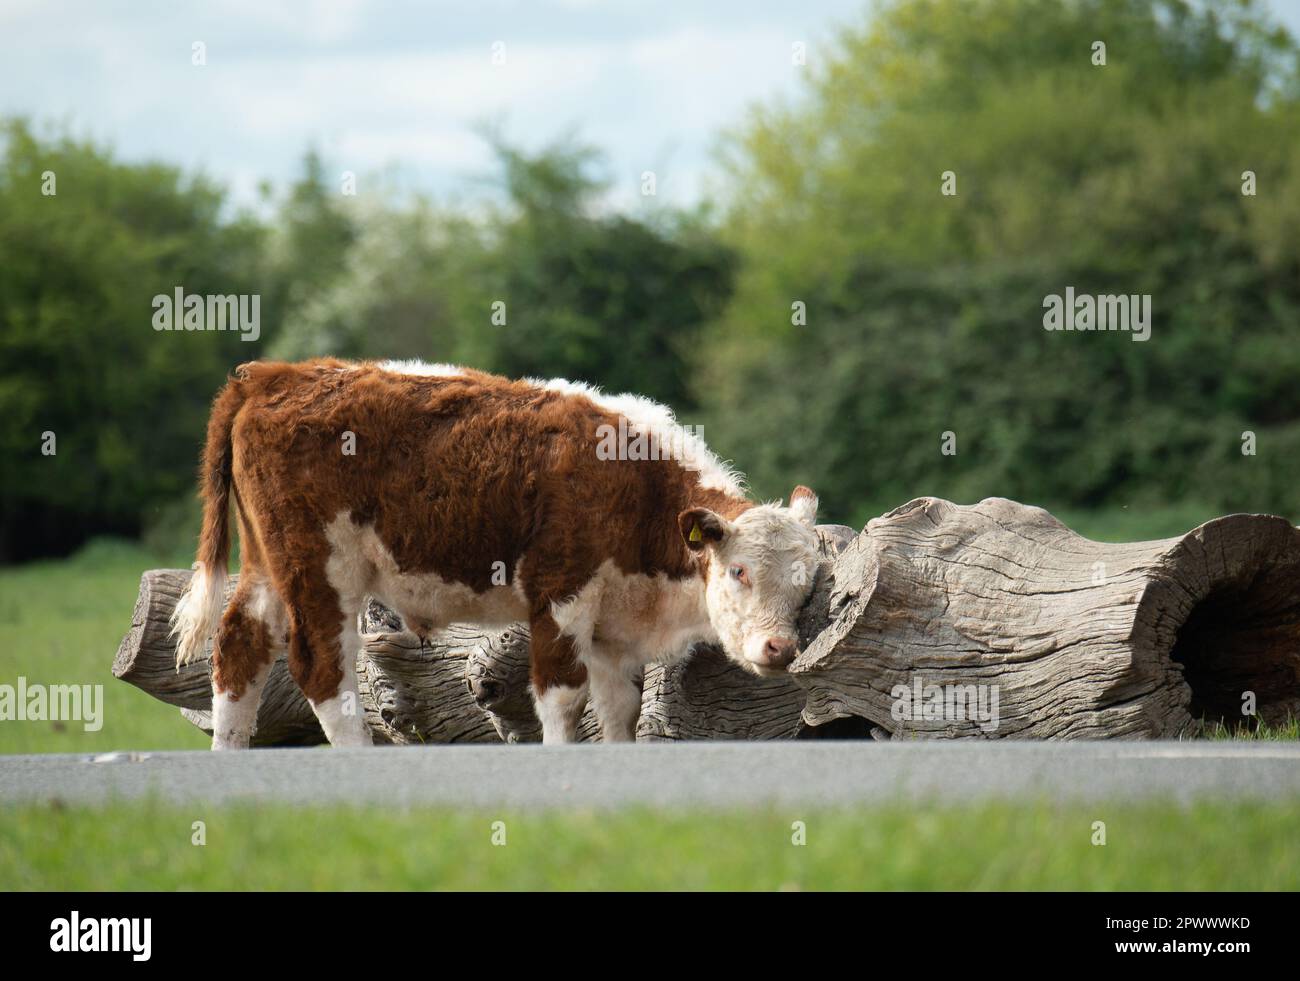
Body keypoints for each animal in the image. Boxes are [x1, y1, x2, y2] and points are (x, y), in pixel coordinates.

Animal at [171, 358, 822, 748]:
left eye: (805, 583)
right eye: (738, 570)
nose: (779, 648)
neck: (638, 483)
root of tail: (275, 373)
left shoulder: (613, 630)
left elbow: (619, 710)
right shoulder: (560, 595)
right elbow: (563, 701)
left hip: (269, 565)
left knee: (239, 645)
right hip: (320, 572)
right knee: (322, 670)